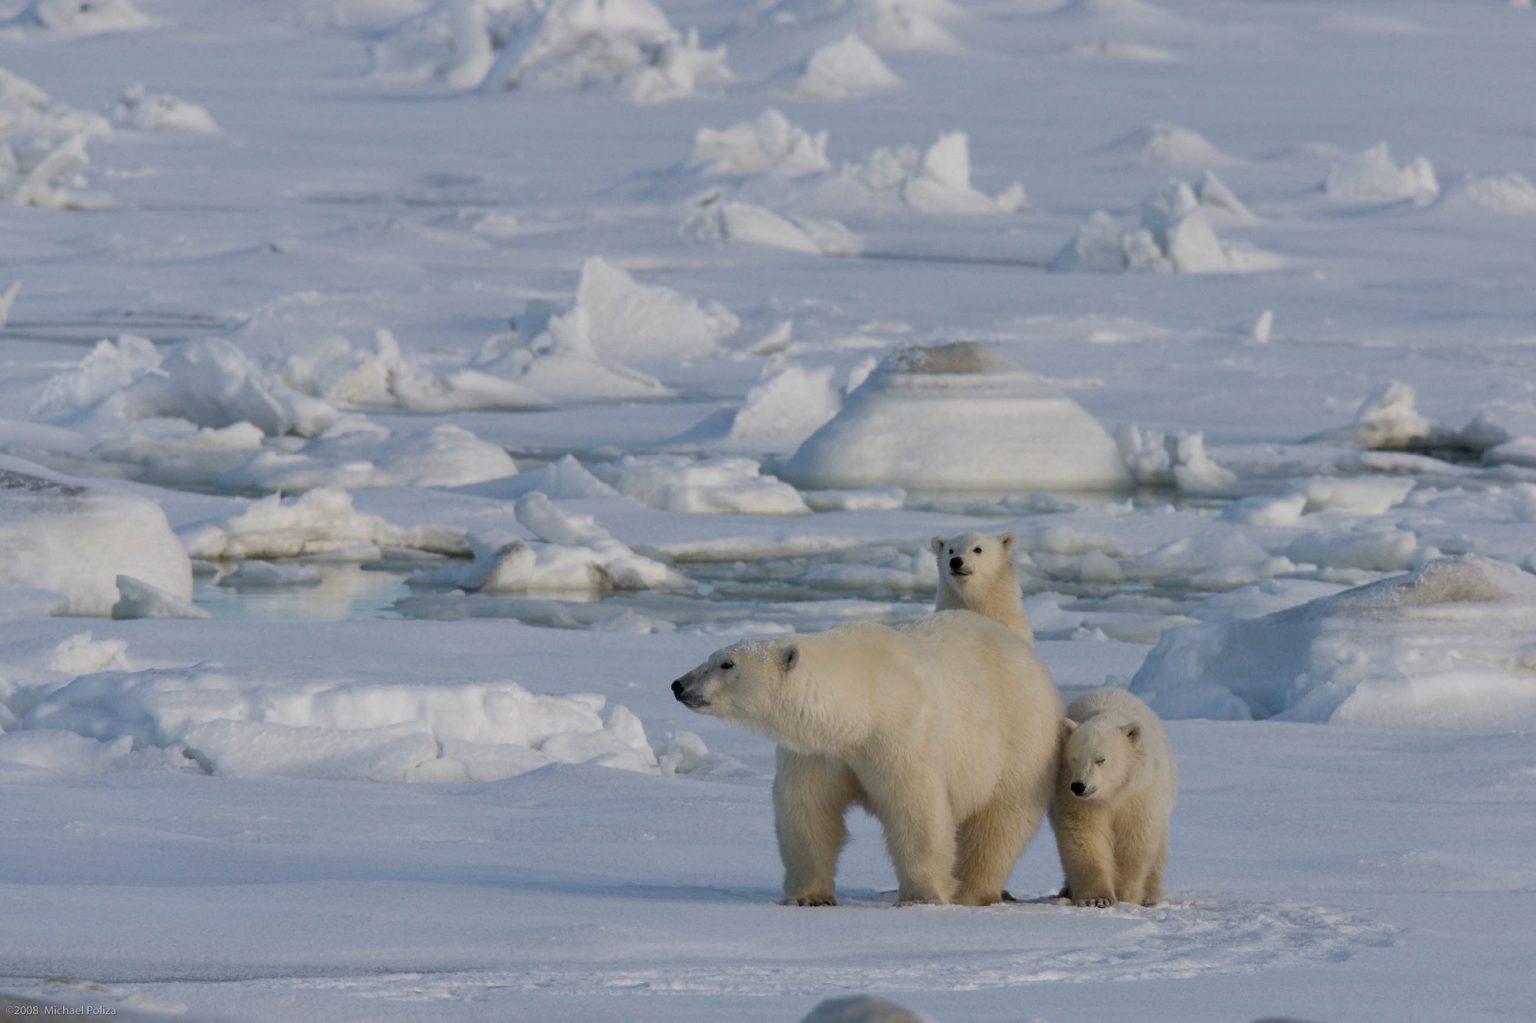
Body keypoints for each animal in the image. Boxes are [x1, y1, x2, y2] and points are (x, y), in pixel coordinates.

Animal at [671, 610, 1063, 907]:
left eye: (726, 663)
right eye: (710, 657)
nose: (679, 685)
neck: (863, 703)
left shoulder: (901, 735)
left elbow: (916, 809)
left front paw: (922, 896)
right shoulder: (818, 752)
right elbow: (808, 809)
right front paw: (809, 897)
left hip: (1020, 737)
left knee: (1001, 820)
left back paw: (970, 890)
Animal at [1050, 687, 1178, 908]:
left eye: (1100, 759)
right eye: (1074, 758)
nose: (1079, 786)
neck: (1112, 795)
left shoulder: (1139, 795)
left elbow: (1134, 840)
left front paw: (1125, 895)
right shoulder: (1074, 799)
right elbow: (1085, 836)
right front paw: (1096, 898)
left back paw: (1150, 896)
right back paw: (1066, 890)